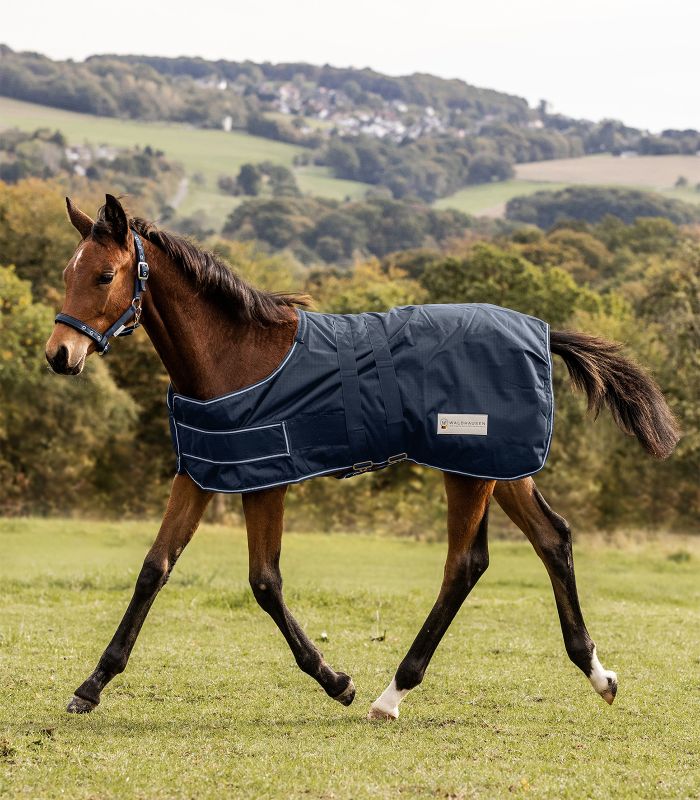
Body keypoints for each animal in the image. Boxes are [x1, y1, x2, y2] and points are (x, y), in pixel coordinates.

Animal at [45, 198, 680, 720]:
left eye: (105, 275)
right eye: (67, 273)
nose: (59, 354)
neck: (232, 356)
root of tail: (542, 334)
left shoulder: (265, 479)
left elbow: (264, 582)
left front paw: (336, 681)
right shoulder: (202, 473)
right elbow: (155, 568)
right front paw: (91, 686)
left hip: (469, 473)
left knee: (464, 565)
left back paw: (391, 694)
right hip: (499, 469)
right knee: (552, 539)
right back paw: (598, 674)